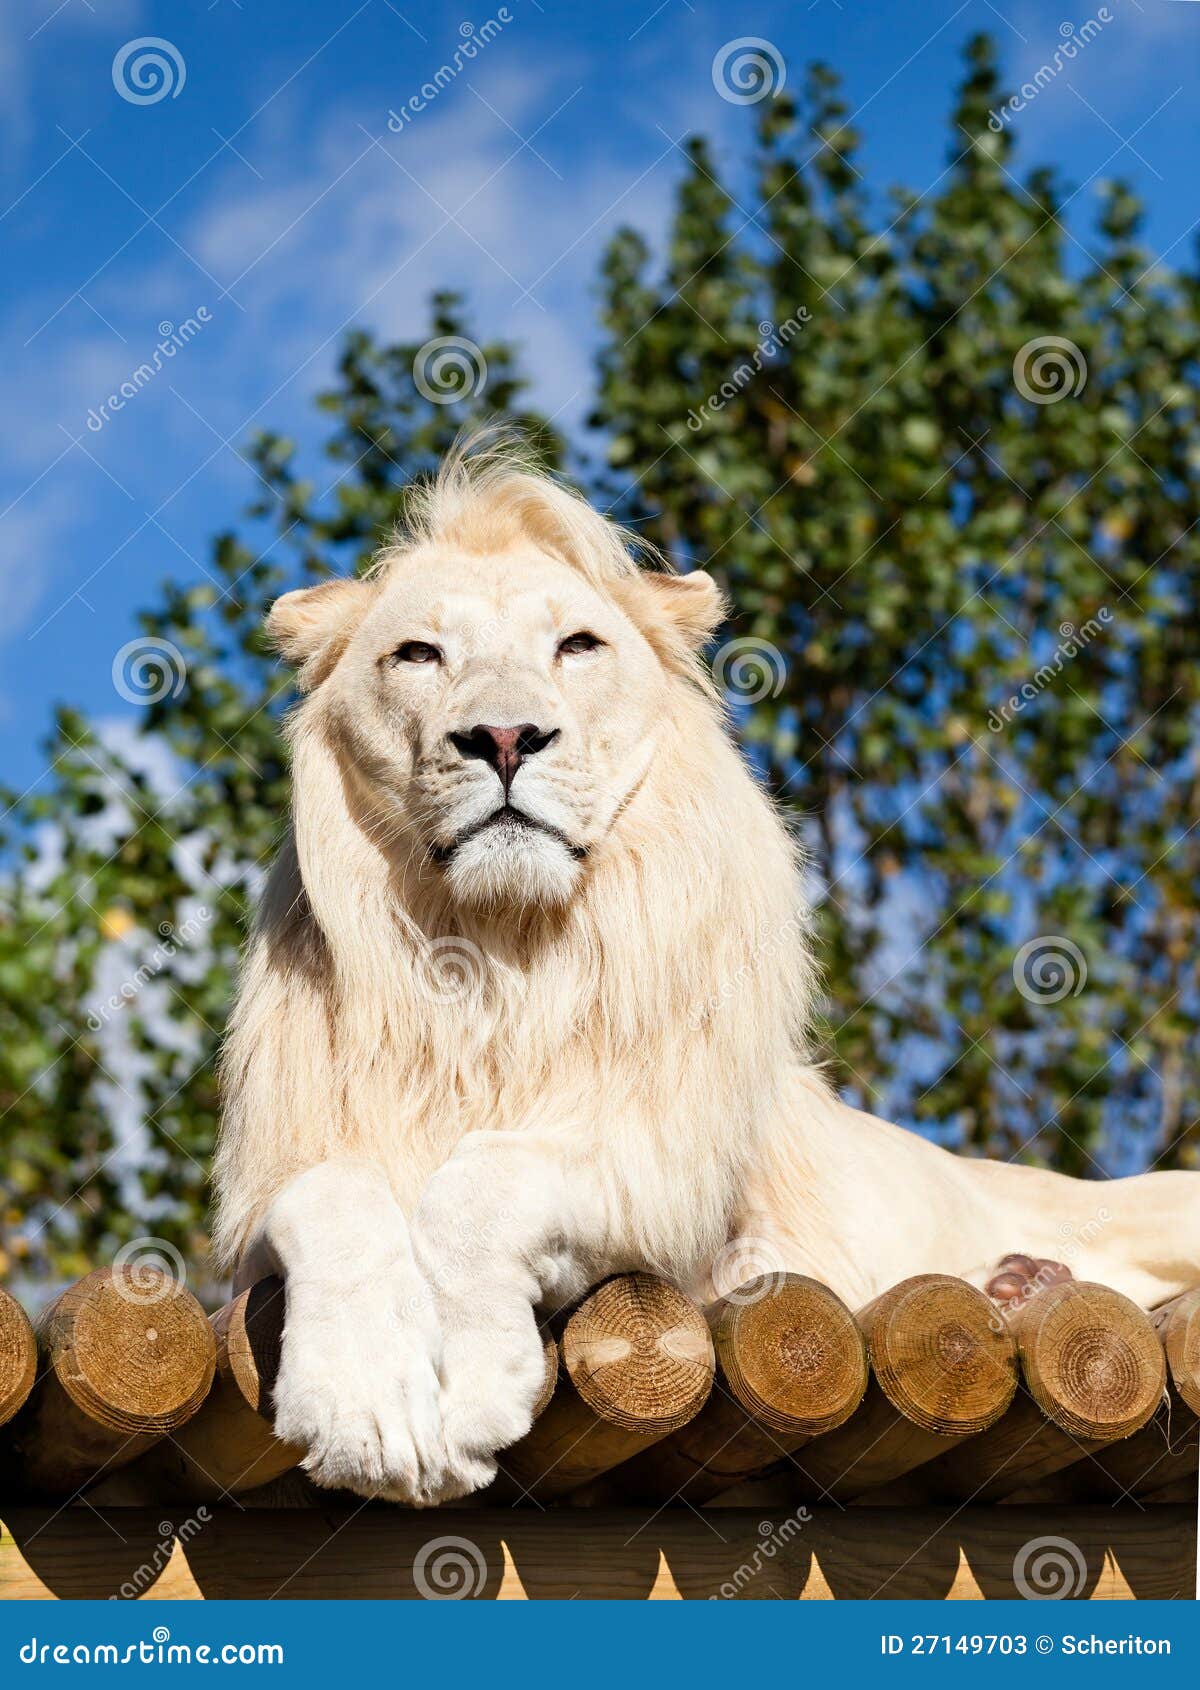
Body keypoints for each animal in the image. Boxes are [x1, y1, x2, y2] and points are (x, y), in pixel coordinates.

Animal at [214, 437, 1200, 1506]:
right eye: (418, 655)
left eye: (577, 647)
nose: (505, 738)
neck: (498, 959)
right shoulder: (282, 1184)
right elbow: (334, 1195)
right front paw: (365, 1408)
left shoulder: (674, 1174)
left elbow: (487, 1182)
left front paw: (470, 1389)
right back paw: (1023, 1283)